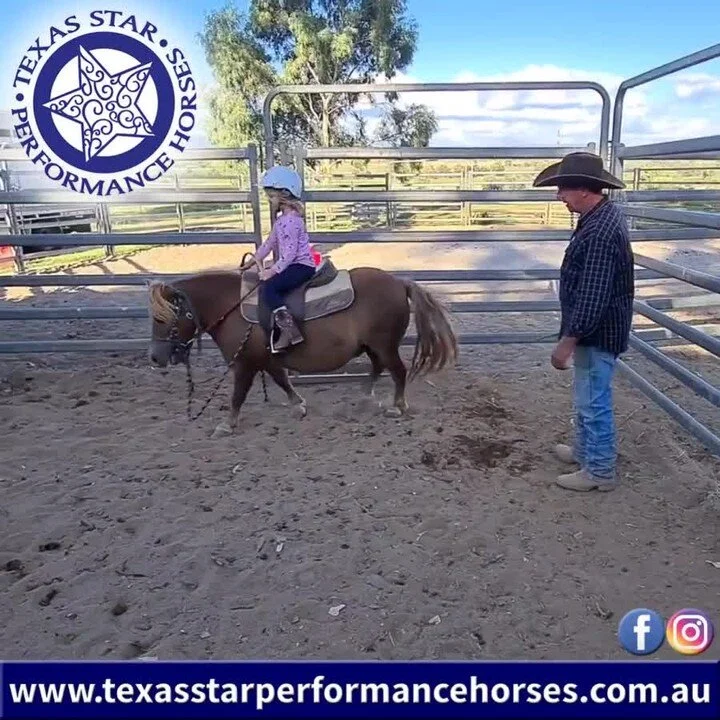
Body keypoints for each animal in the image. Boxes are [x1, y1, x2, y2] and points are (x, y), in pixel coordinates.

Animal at [147, 262, 458, 437]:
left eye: (161, 319)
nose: (155, 357)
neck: (232, 306)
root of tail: (400, 282)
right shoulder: (267, 360)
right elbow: (282, 380)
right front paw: (298, 405)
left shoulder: (245, 364)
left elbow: (238, 395)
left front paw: (227, 424)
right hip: (373, 346)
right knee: (379, 367)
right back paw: (365, 397)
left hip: (385, 344)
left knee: (398, 371)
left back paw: (397, 406)